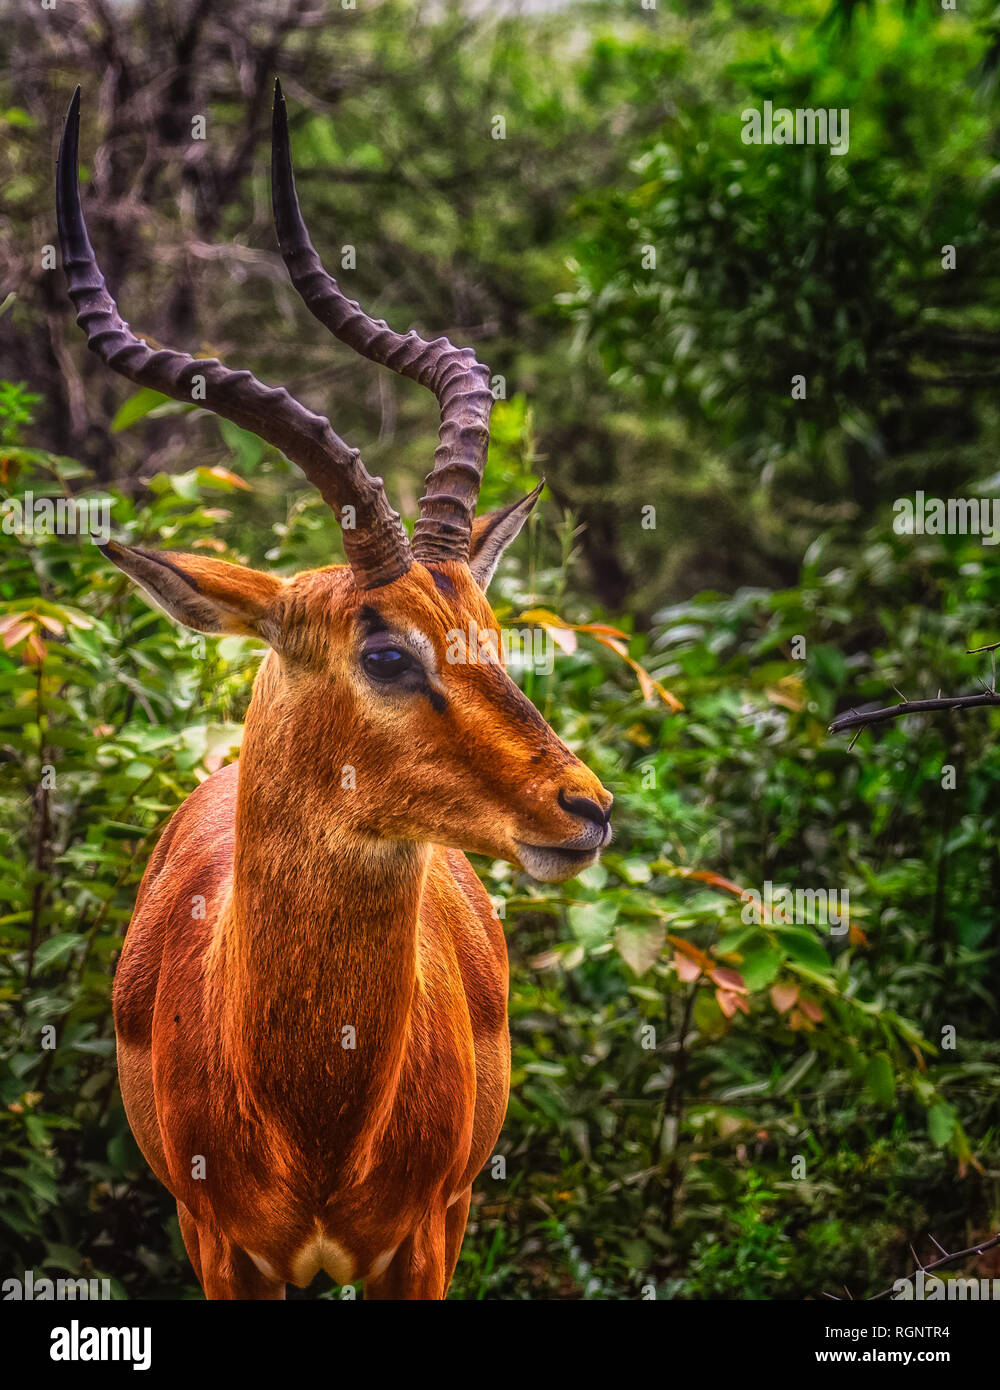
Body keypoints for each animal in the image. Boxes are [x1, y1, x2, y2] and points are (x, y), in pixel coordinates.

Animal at [56, 84, 613, 1300]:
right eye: (387, 652)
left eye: (490, 631)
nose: (586, 808)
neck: (311, 1111)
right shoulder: (220, 1246)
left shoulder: (428, 1235)